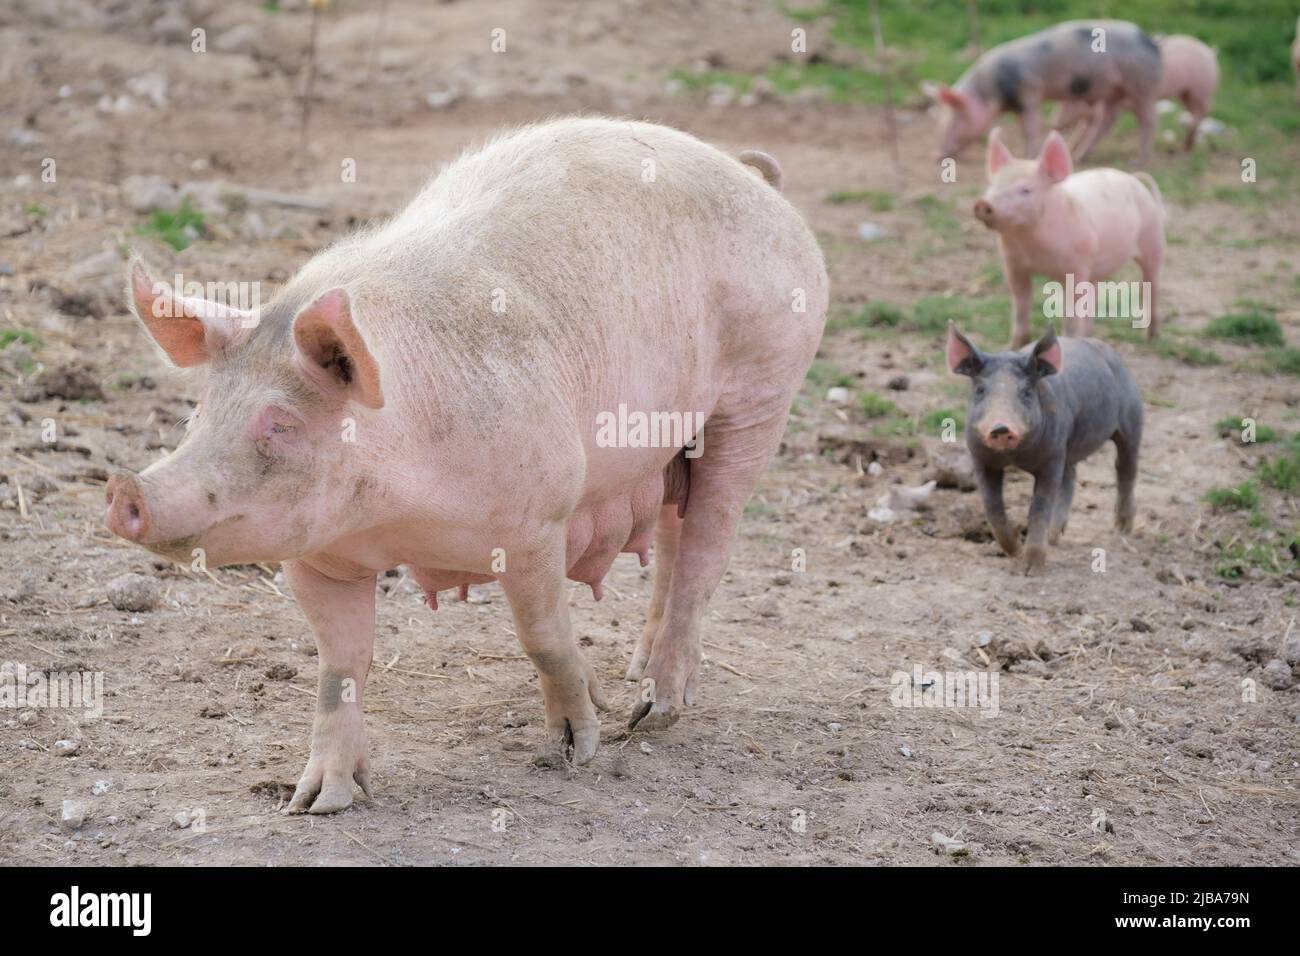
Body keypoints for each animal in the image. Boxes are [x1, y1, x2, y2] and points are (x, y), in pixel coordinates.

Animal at [106, 117, 828, 814]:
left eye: (280, 424)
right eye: (201, 411)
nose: (126, 490)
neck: (394, 514)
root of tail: (751, 175)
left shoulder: (539, 516)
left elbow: (543, 636)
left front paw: (577, 749)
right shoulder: (317, 560)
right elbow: (339, 669)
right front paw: (314, 802)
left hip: (760, 395)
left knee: (708, 544)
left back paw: (652, 713)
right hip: (680, 444)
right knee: (676, 542)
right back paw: (631, 681)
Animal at [923, 19, 1162, 165]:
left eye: (955, 119)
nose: (935, 155)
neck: (991, 91)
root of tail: (1150, 41)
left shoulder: (1030, 91)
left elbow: (1030, 129)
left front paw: (1029, 156)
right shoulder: (1017, 104)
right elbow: (1023, 129)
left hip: (1141, 83)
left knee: (1148, 118)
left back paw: (1138, 162)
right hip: (1113, 90)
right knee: (1107, 119)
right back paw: (1078, 155)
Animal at [946, 322, 1143, 575]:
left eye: (1026, 392)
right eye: (980, 390)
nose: (1001, 427)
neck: (1014, 456)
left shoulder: (1051, 458)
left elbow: (1039, 508)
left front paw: (1031, 569)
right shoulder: (981, 457)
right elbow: (992, 507)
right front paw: (1015, 552)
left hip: (1132, 416)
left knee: (1126, 466)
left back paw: (1121, 530)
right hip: (1068, 447)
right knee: (1071, 476)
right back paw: (1054, 537)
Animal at [974, 129, 1166, 348]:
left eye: (1025, 190)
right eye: (992, 185)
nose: (982, 203)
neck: (1031, 245)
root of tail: (1134, 180)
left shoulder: (1077, 266)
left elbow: (1071, 314)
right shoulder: (1013, 264)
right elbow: (1021, 305)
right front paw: (1014, 347)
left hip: (1153, 239)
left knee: (1151, 285)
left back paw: (1151, 337)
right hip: (1096, 267)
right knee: (1092, 300)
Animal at [1055, 35, 1220, 153]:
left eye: (1067, 102)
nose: (1054, 124)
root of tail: (1210, 52)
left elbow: (1095, 128)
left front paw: (1078, 154)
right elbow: (1082, 128)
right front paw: (1070, 147)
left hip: (1201, 91)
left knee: (1203, 111)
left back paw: (1185, 144)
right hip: (1185, 93)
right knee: (1194, 112)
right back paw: (1186, 145)